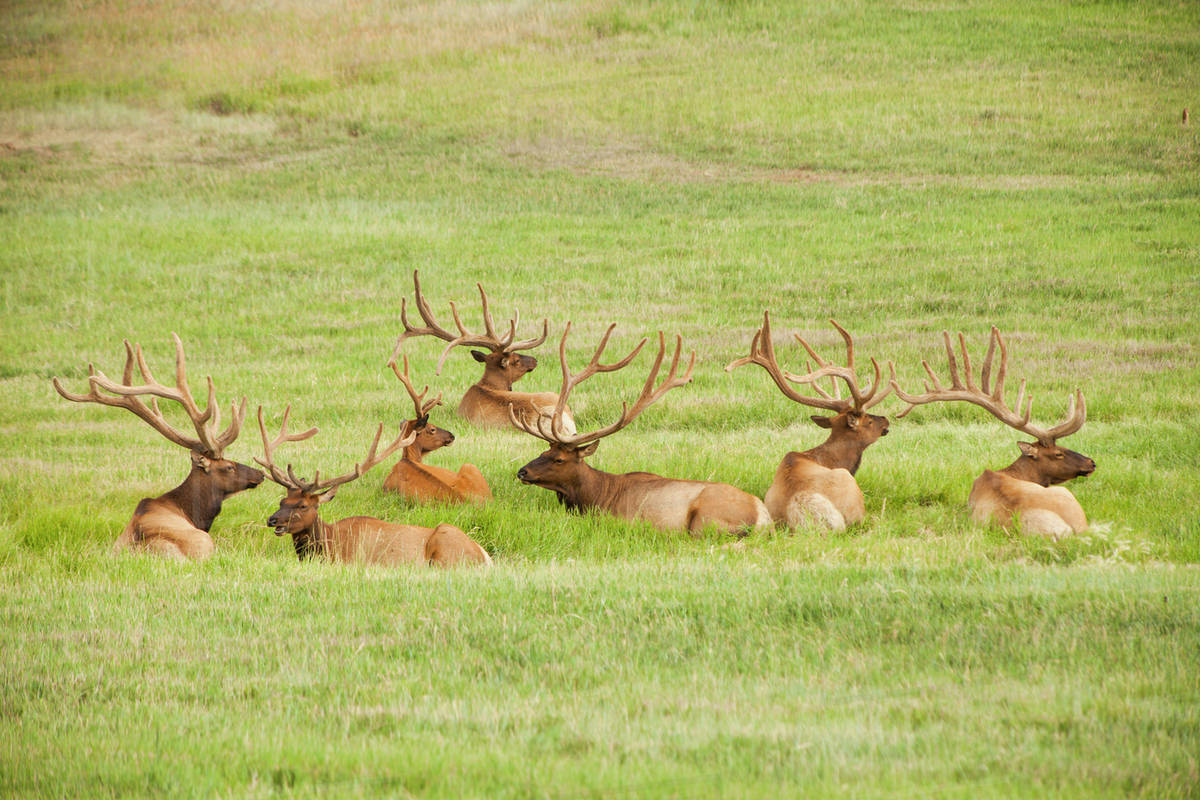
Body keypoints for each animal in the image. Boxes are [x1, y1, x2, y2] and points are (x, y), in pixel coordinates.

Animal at [256, 406, 492, 567]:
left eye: (303, 506)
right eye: (282, 501)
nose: (272, 520)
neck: (330, 546)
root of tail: (484, 555)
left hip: (446, 544)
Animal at [511, 323, 772, 535]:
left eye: (559, 459)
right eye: (543, 452)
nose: (522, 471)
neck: (596, 496)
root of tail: (763, 518)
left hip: (705, 520)